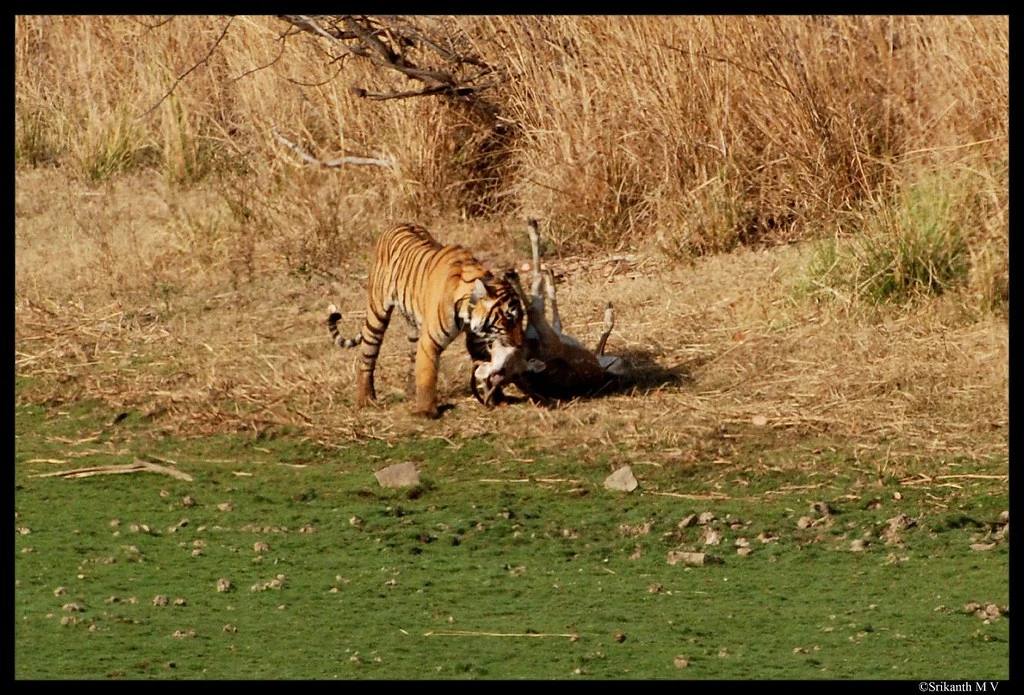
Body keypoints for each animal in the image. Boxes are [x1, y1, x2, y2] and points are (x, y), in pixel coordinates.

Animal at [327, 223, 527, 419]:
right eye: (509, 320)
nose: (519, 344)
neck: (468, 311)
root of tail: (393, 225)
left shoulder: (477, 340)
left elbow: (487, 367)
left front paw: (497, 397)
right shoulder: (430, 341)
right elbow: (427, 374)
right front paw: (425, 412)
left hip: (414, 327)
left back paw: (409, 392)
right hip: (377, 314)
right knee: (367, 356)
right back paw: (366, 399)